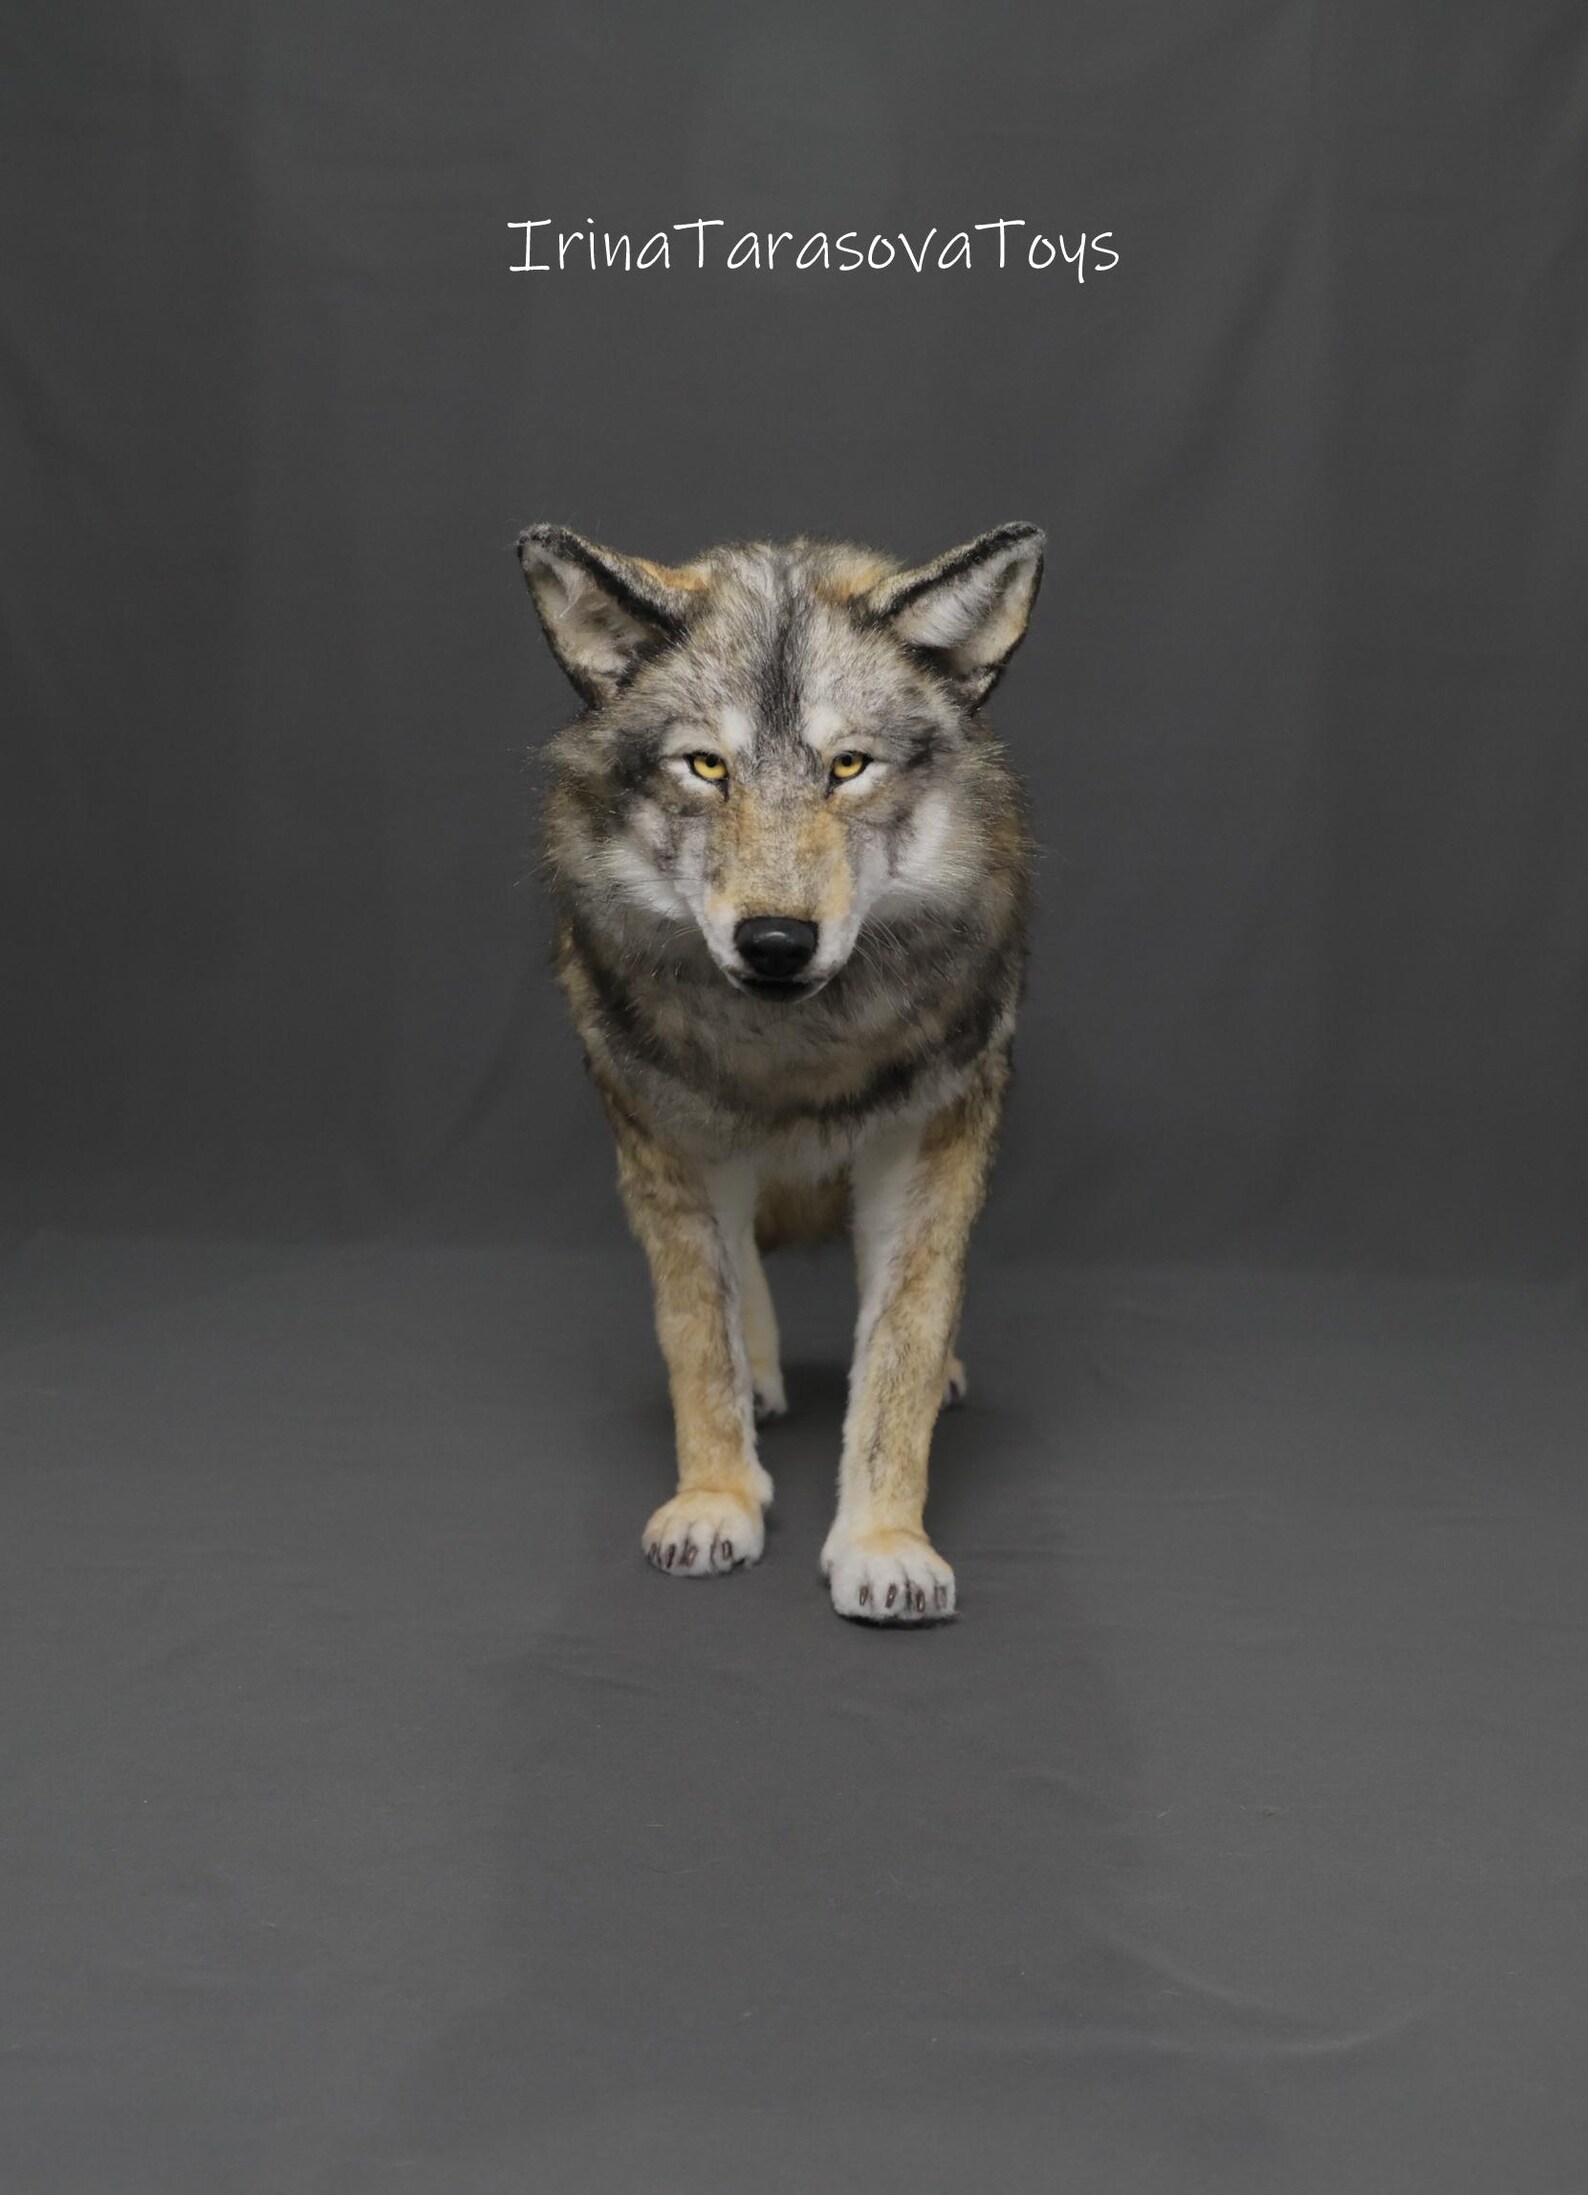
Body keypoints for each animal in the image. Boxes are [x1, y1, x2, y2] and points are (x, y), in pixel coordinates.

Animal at [516, 520, 1043, 1622]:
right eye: (706, 765)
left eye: (848, 765)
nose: (773, 942)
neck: (798, 1061)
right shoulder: (665, 1142)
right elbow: (697, 1337)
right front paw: (715, 1496)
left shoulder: (930, 1144)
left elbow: (899, 1351)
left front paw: (885, 1543)